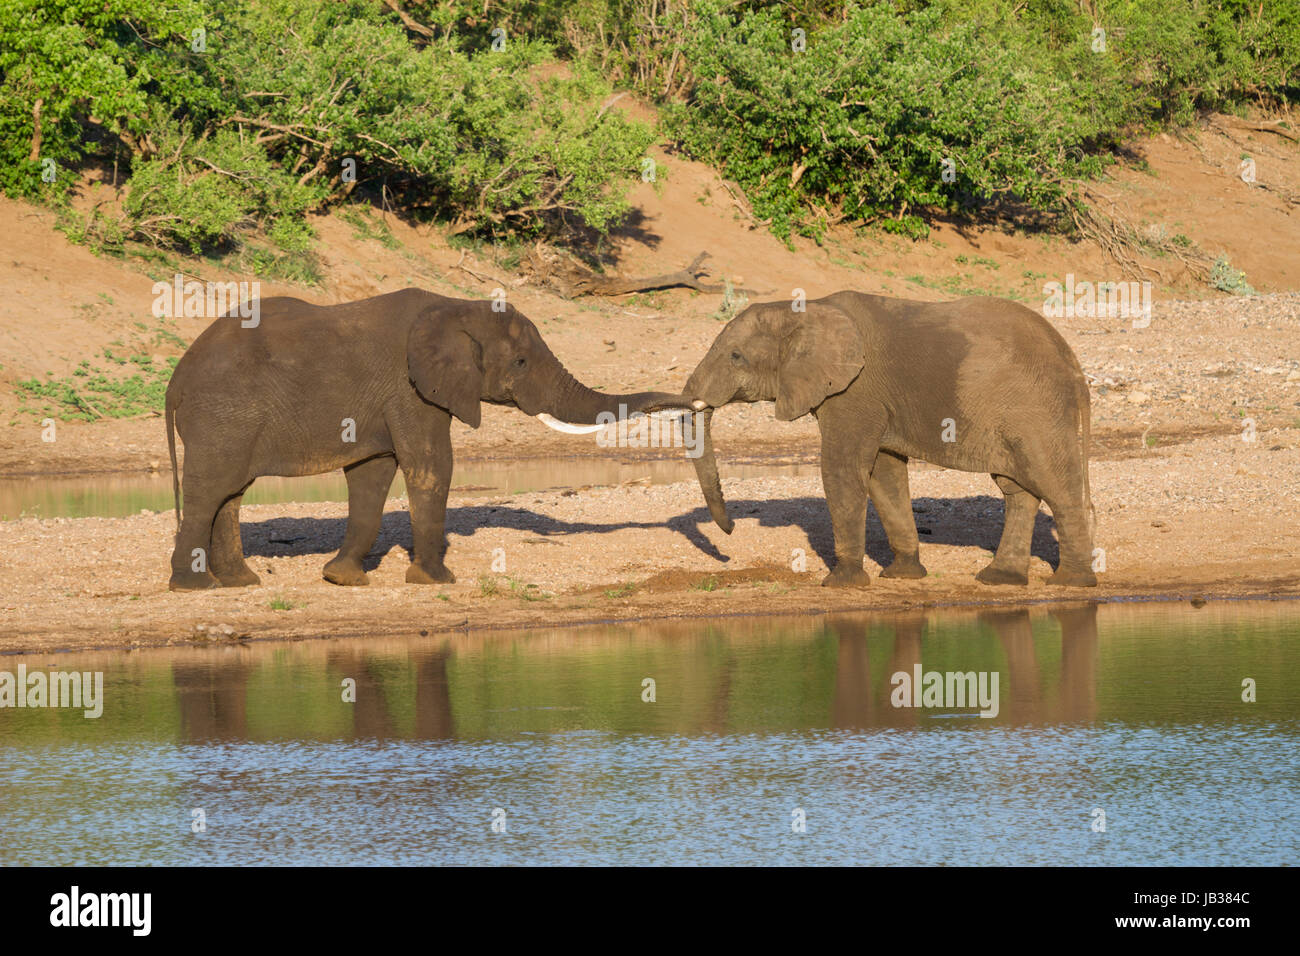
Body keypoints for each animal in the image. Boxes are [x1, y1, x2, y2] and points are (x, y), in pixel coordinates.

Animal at [165, 288, 687, 591]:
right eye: (520, 363)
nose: (693, 403)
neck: (458, 307)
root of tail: (176, 379)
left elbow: (372, 475)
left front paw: (341, 579)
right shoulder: (412, 388)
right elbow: (431, 466)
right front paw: (438, 581)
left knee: (229, 493)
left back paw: (241, 583)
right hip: (221, 416)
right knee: (209, 490)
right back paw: (194, 588)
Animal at [681, 291, 1097, 588]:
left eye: (736, 356)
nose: (731, 531)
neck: (803, 309)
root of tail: (1074, 364)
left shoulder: (854, 392)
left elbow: (843, 469)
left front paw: (841, 583)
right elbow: (885, 474)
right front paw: (903, 576)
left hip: (1036, 409)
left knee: (1055, 485)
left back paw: (1072, 583)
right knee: (1018, 491)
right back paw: (1000, 580)